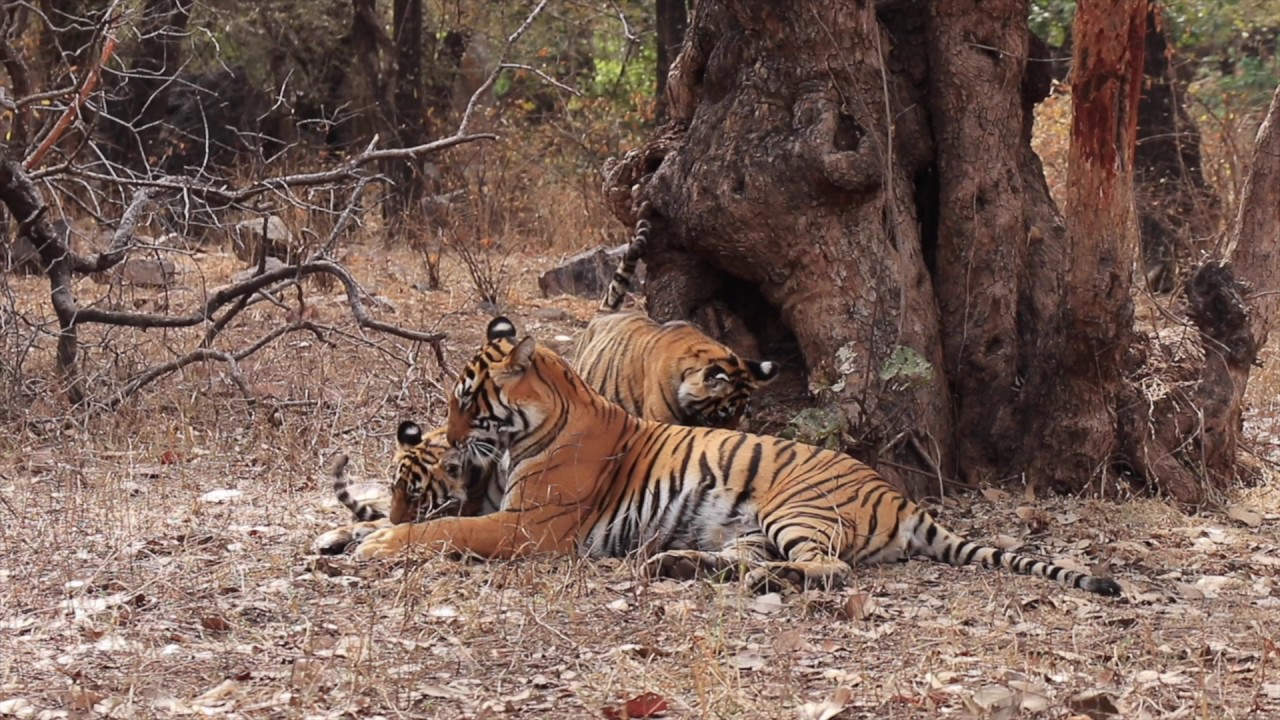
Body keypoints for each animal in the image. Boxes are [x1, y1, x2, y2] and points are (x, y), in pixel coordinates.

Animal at [351, 316, 1123, 599]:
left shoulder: (527, 526)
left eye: (466, 399)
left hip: (796, 510)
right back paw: (675, 565)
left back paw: (749, 580)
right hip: (749, 527)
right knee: (747, 560)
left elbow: (447, 529)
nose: (446, 434)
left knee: (827, 571)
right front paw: (357, 529)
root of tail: (899, 497)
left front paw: (380, 541)